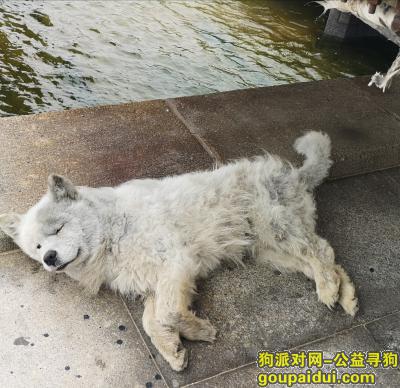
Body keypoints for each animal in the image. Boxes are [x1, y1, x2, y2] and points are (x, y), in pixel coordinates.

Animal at [0, 132, 356, 372]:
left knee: (321, 251)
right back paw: (347, 297)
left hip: (277, 229)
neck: (114, 230)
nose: (49, 259)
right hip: (269, 250)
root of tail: (294, 174)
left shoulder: (176, 262)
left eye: (57, 230)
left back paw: (329, 290)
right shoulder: (154, 281)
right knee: (323, 259)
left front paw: (196, 330)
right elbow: (151, 320)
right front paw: (174, 347)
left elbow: (167, 313)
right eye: (37, 247)